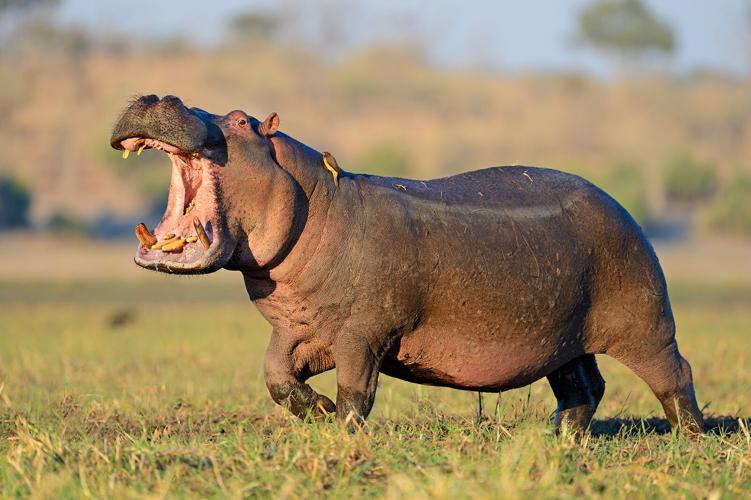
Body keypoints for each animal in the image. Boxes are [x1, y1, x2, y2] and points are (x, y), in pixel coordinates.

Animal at [110, 94, 704, 434]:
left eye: (240, 120)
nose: (159, 94)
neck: (315, 198)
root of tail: (622, 206)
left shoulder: (362, 332)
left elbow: (357, 390)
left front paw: (343, 431)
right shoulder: (297, 329)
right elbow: (276, 377)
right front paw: (317, 413)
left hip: (647, 322)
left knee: (675, 374)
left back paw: (689, 437)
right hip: (563, 335)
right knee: (584, 385)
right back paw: (556, 436)